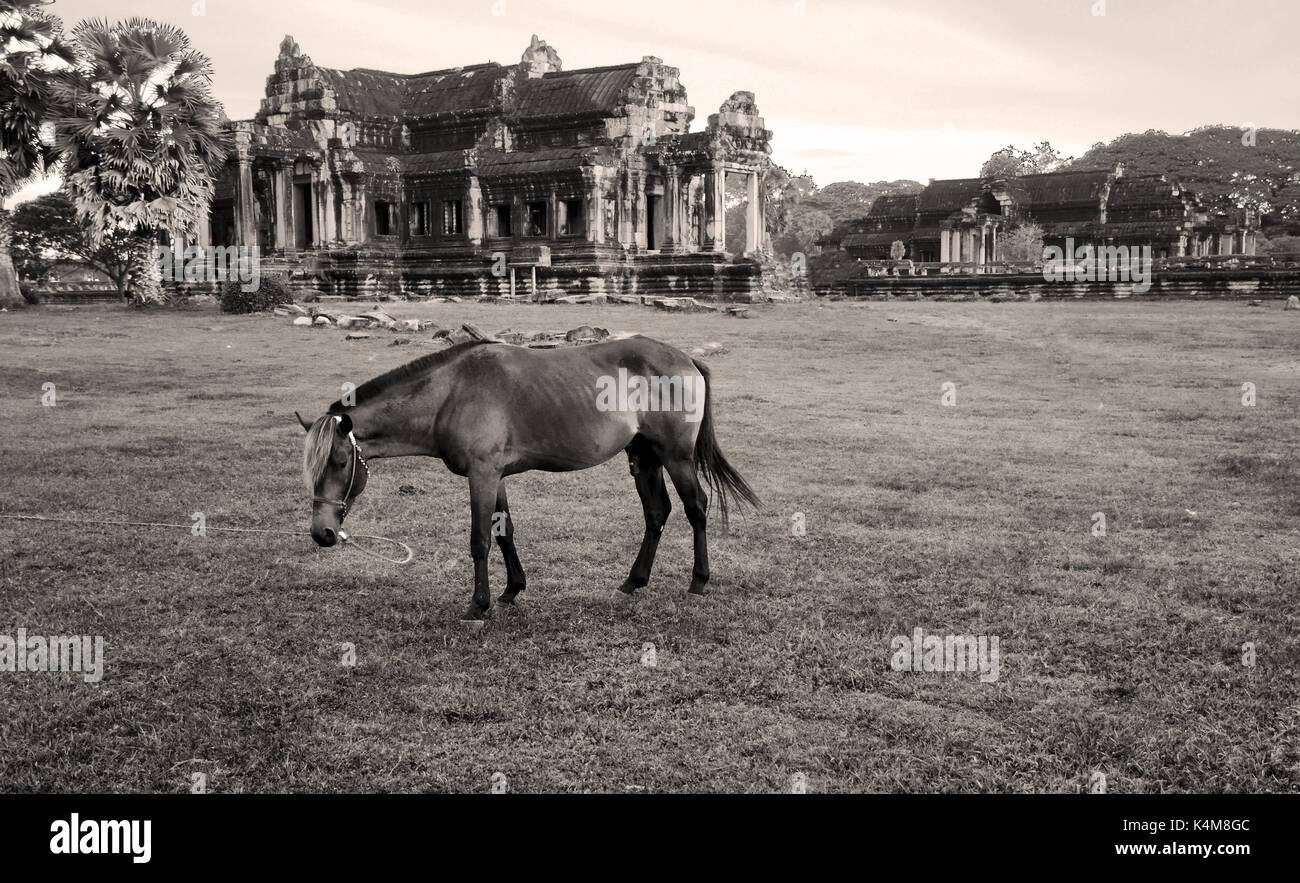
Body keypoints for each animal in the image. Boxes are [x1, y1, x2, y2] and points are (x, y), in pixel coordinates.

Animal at [298, 336, 759, 619]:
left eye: (339, 462)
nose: (322, 532)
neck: (451, 393)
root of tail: (685, 358)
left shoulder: (482, 475)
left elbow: (480, 540)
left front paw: (478, 605)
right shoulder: (495, 476)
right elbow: (505, 533)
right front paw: (511, 590)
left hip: (676, 457)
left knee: (695, 508)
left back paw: (698, 582)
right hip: (644, 457)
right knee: (657, 513)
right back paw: (633, 582)